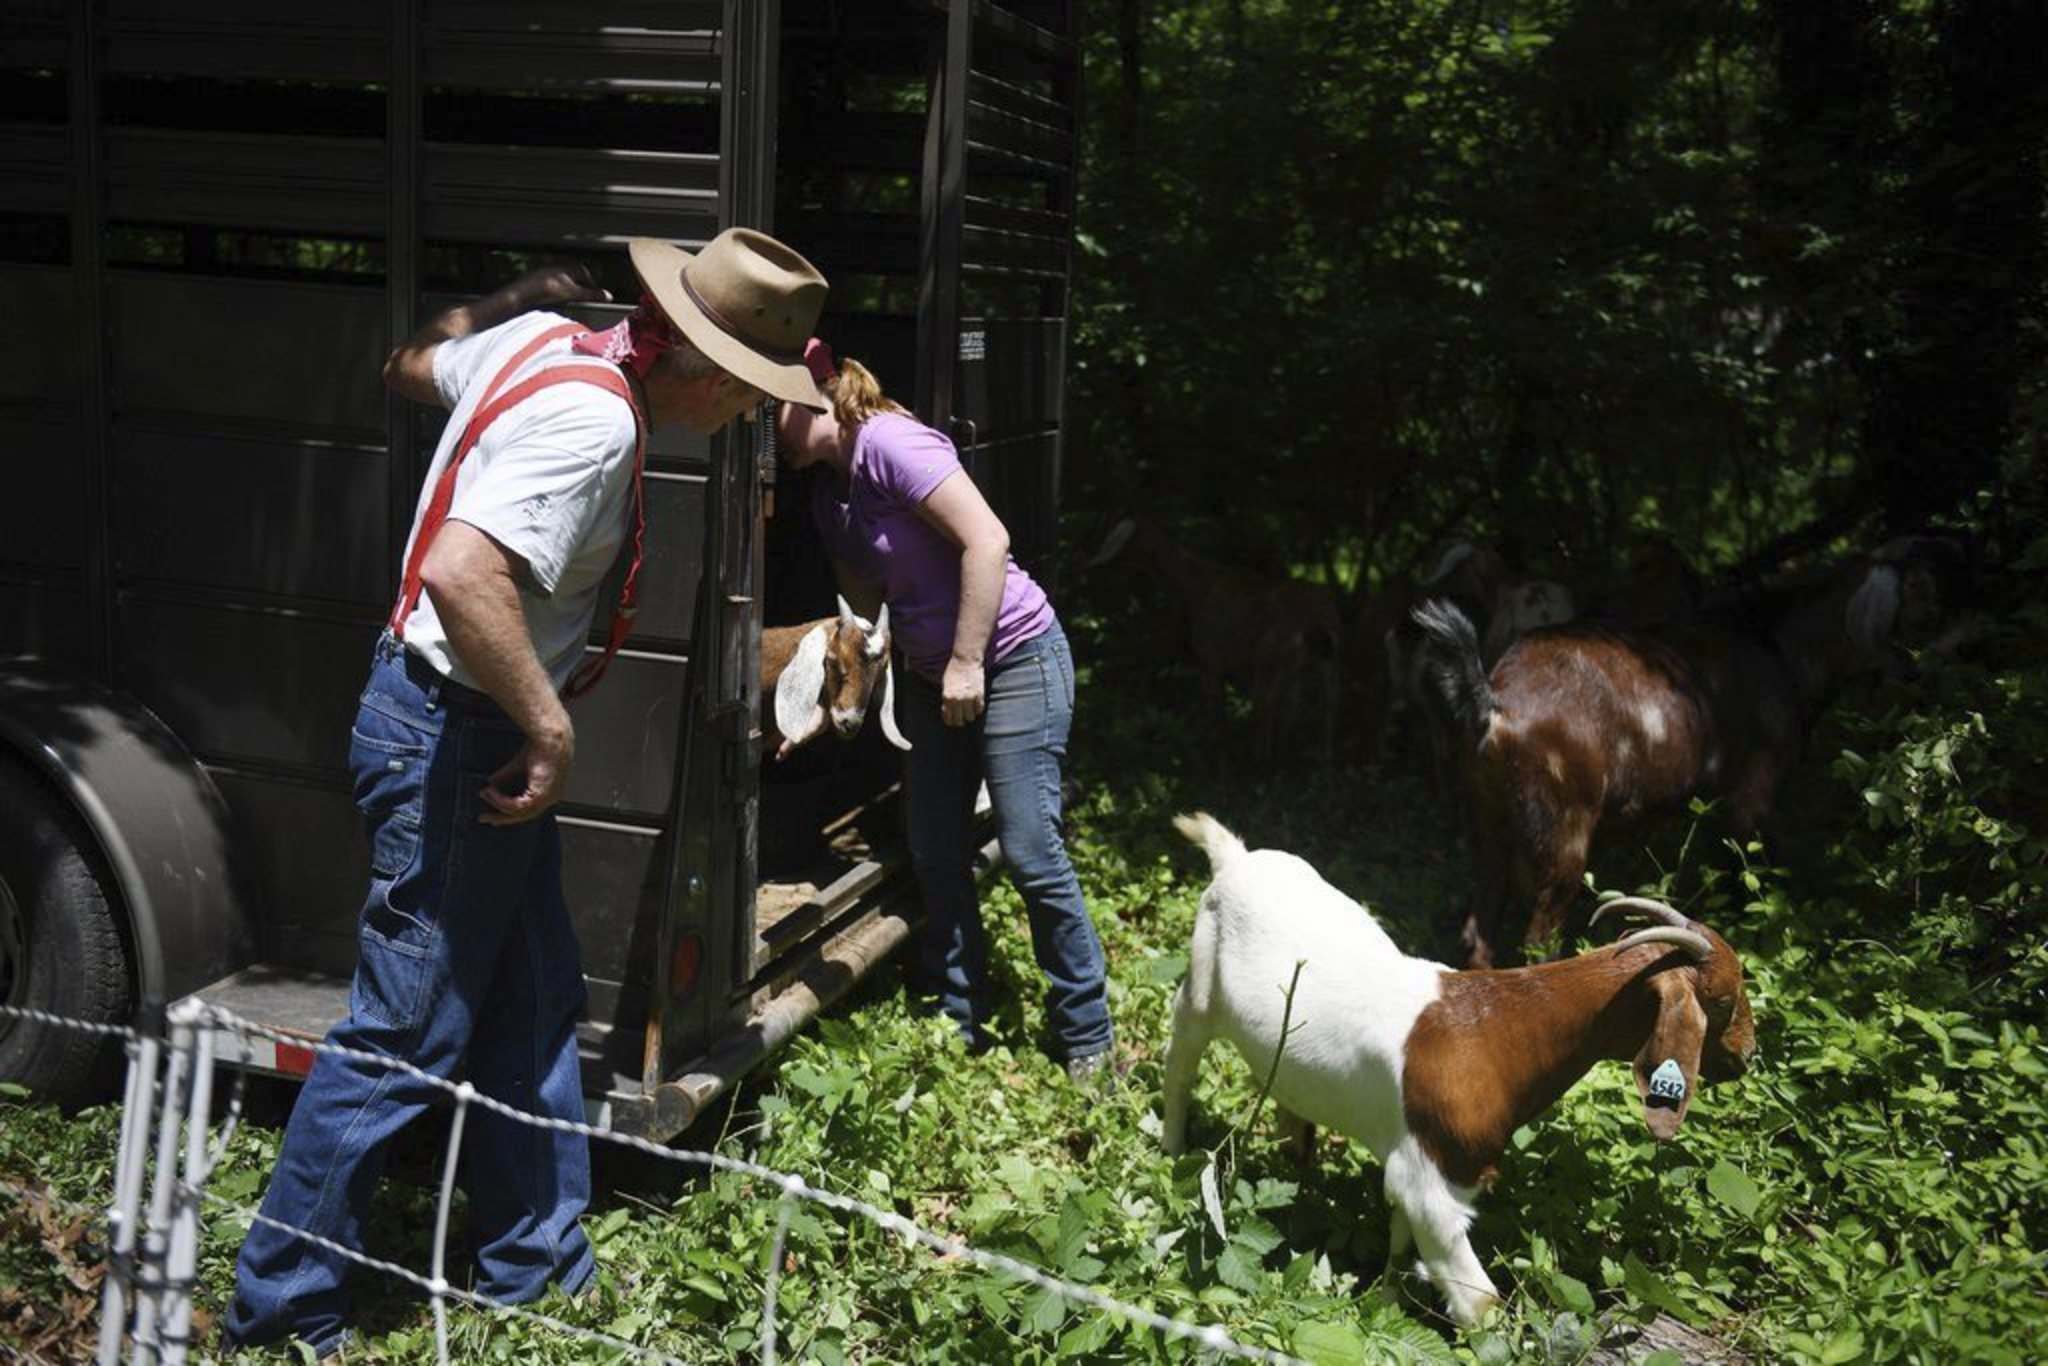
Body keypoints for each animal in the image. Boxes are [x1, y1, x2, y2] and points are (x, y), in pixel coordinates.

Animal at [1085, 517, 1342, 758]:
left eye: (1121, 543)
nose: (1094, 564)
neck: (1193, 586)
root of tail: (1315, 620)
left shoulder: (1212, 663)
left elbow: (1218, 728)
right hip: (1319, 666)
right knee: (1319, 713)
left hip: (1273, 660)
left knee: (1269, 712)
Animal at [1161, 813, 1755, 1327]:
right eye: (1723, 1001)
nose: (1747, 1054)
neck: (1497, 1031)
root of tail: (1235, 858)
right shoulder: (1434, 1183)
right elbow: (1479, 1301)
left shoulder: (1418, 1167)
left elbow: (1400, 1246)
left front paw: (1384, 1304)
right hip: (1198, 993)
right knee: (1180, 1067)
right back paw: (1170, 1153)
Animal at [1417, 535, 1963, 967]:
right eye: (1922, 605)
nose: (1922, 674)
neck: (1779, 649)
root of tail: (1494, 702)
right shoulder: (1754, 788)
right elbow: (1745, 875)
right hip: (1563, 831)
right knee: (1538, 943)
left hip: (1486, 827)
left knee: (1478, 937)